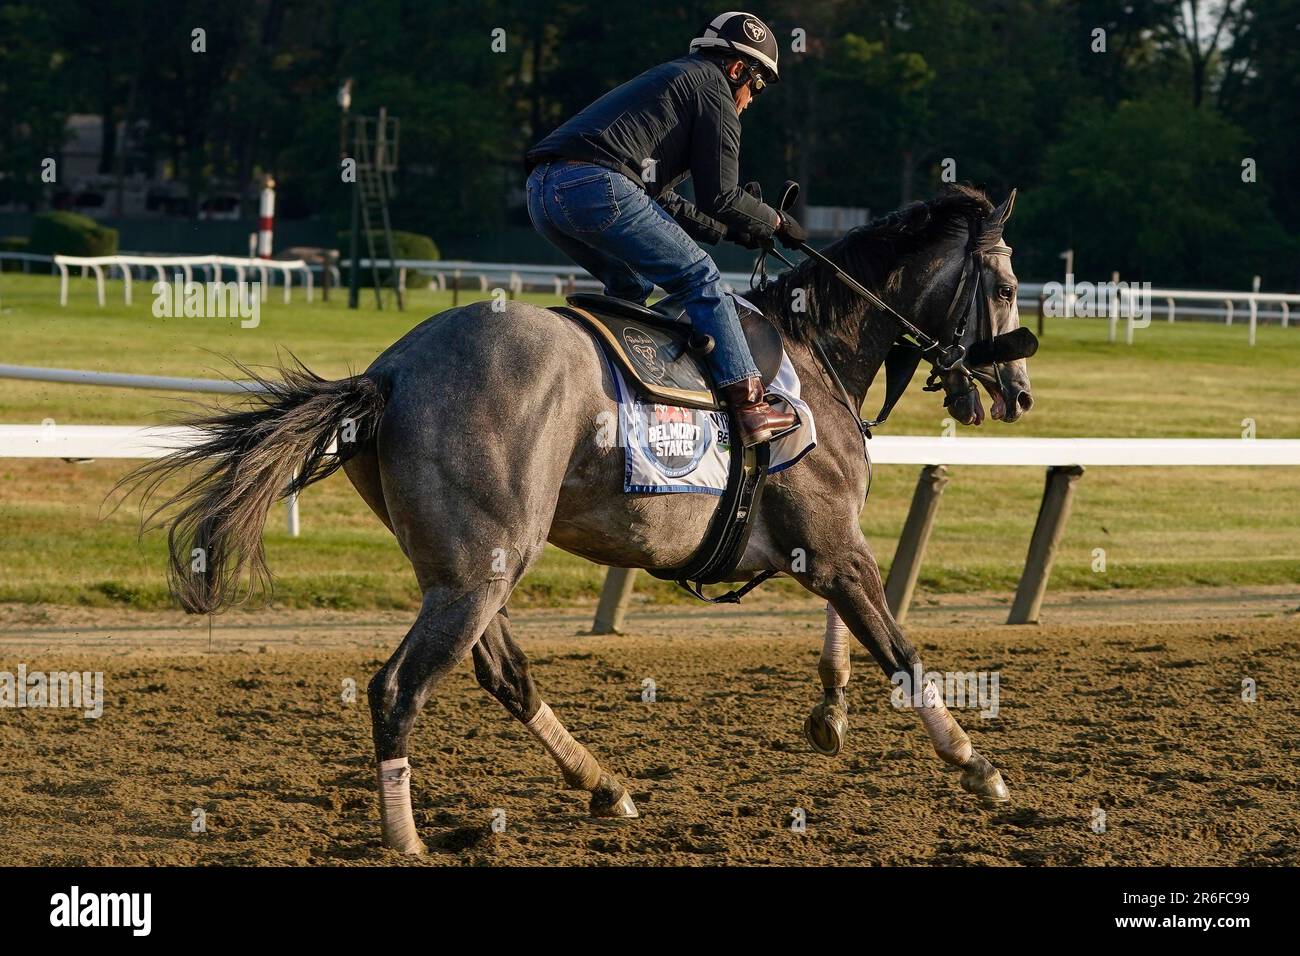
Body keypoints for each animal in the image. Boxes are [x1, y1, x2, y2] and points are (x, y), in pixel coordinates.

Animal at [127, 184, 1032, 854]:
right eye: (1007, 285)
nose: (1018, 393)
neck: (817, 353)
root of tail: (389, 373)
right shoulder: (834, 543)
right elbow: (900, 648)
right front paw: (975, 761)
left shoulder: (826, 542)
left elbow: (857, 629)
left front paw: (832, 713)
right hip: (480, 567)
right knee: (397, 688)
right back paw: (407, 838)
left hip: (470, 569)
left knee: (504, 673)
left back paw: (604, 786)